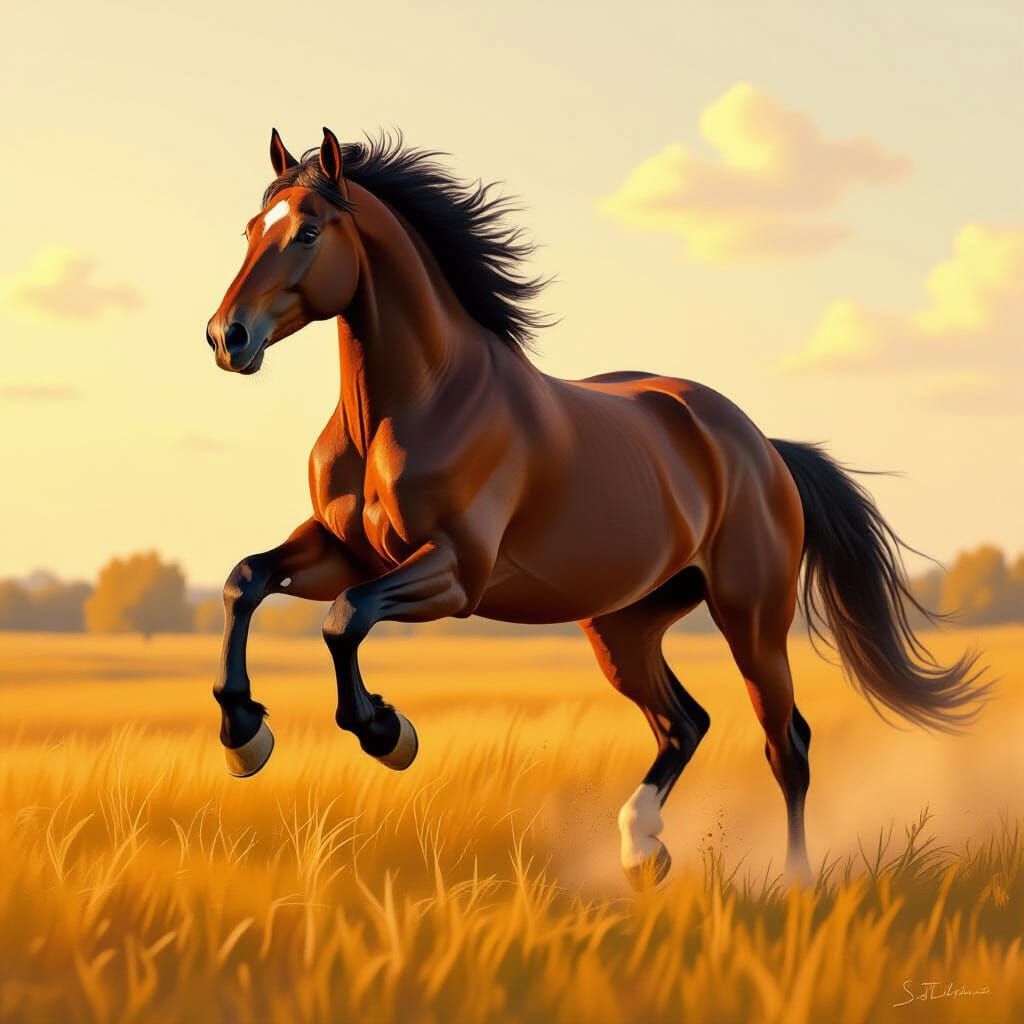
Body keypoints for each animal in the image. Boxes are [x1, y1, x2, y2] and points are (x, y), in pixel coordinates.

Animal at [205, 127, 988, 888]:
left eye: (308, 230)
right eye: (250, 229)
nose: (226, 337)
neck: (415, 405)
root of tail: (762, 446)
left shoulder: (455, 573)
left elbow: (346, 619)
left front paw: (388, 733)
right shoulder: (344, 551)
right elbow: (247, 580)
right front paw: (245, 736)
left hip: (752, 619)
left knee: (785, 743)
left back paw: (792, 880)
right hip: (622, 625)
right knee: (684, 723)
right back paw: (642, 849)